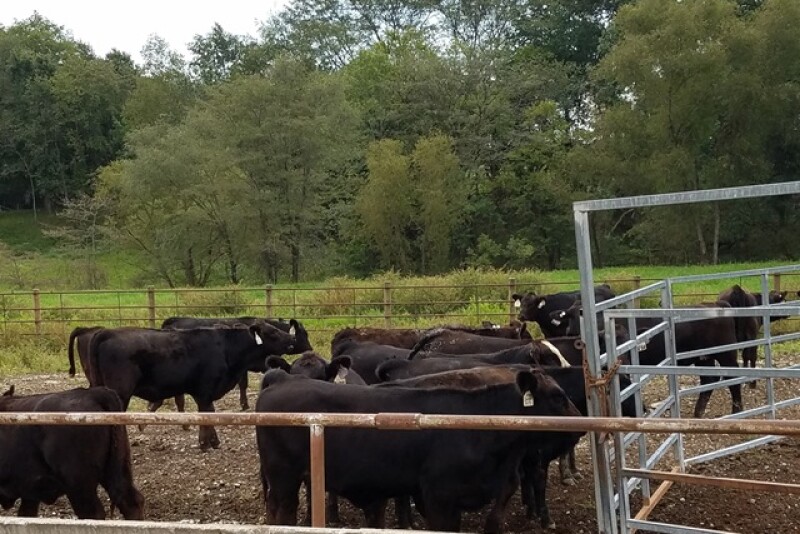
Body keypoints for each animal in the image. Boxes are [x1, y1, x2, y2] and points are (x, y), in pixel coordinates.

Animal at [0, 385, 144, 520]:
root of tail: (93, 393)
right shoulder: (30, 493)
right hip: (115, 470)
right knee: (130, 502)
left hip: (79, 485)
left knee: (92, 513)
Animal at [88, 323, 295, 450]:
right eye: (273, 332)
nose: (292, 341)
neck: (225, 347)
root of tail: (107, 332)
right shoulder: (205, 390)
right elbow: (206, 413)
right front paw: (207, 442)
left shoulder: (202, 392)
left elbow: (207, 413)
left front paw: (210, 441)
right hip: (119, 392)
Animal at [255, 367, 582, 533]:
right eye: (558, 396)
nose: (580, 425)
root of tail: (281, 381)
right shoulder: (437, 497)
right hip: (284, 478)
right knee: (283, 514)